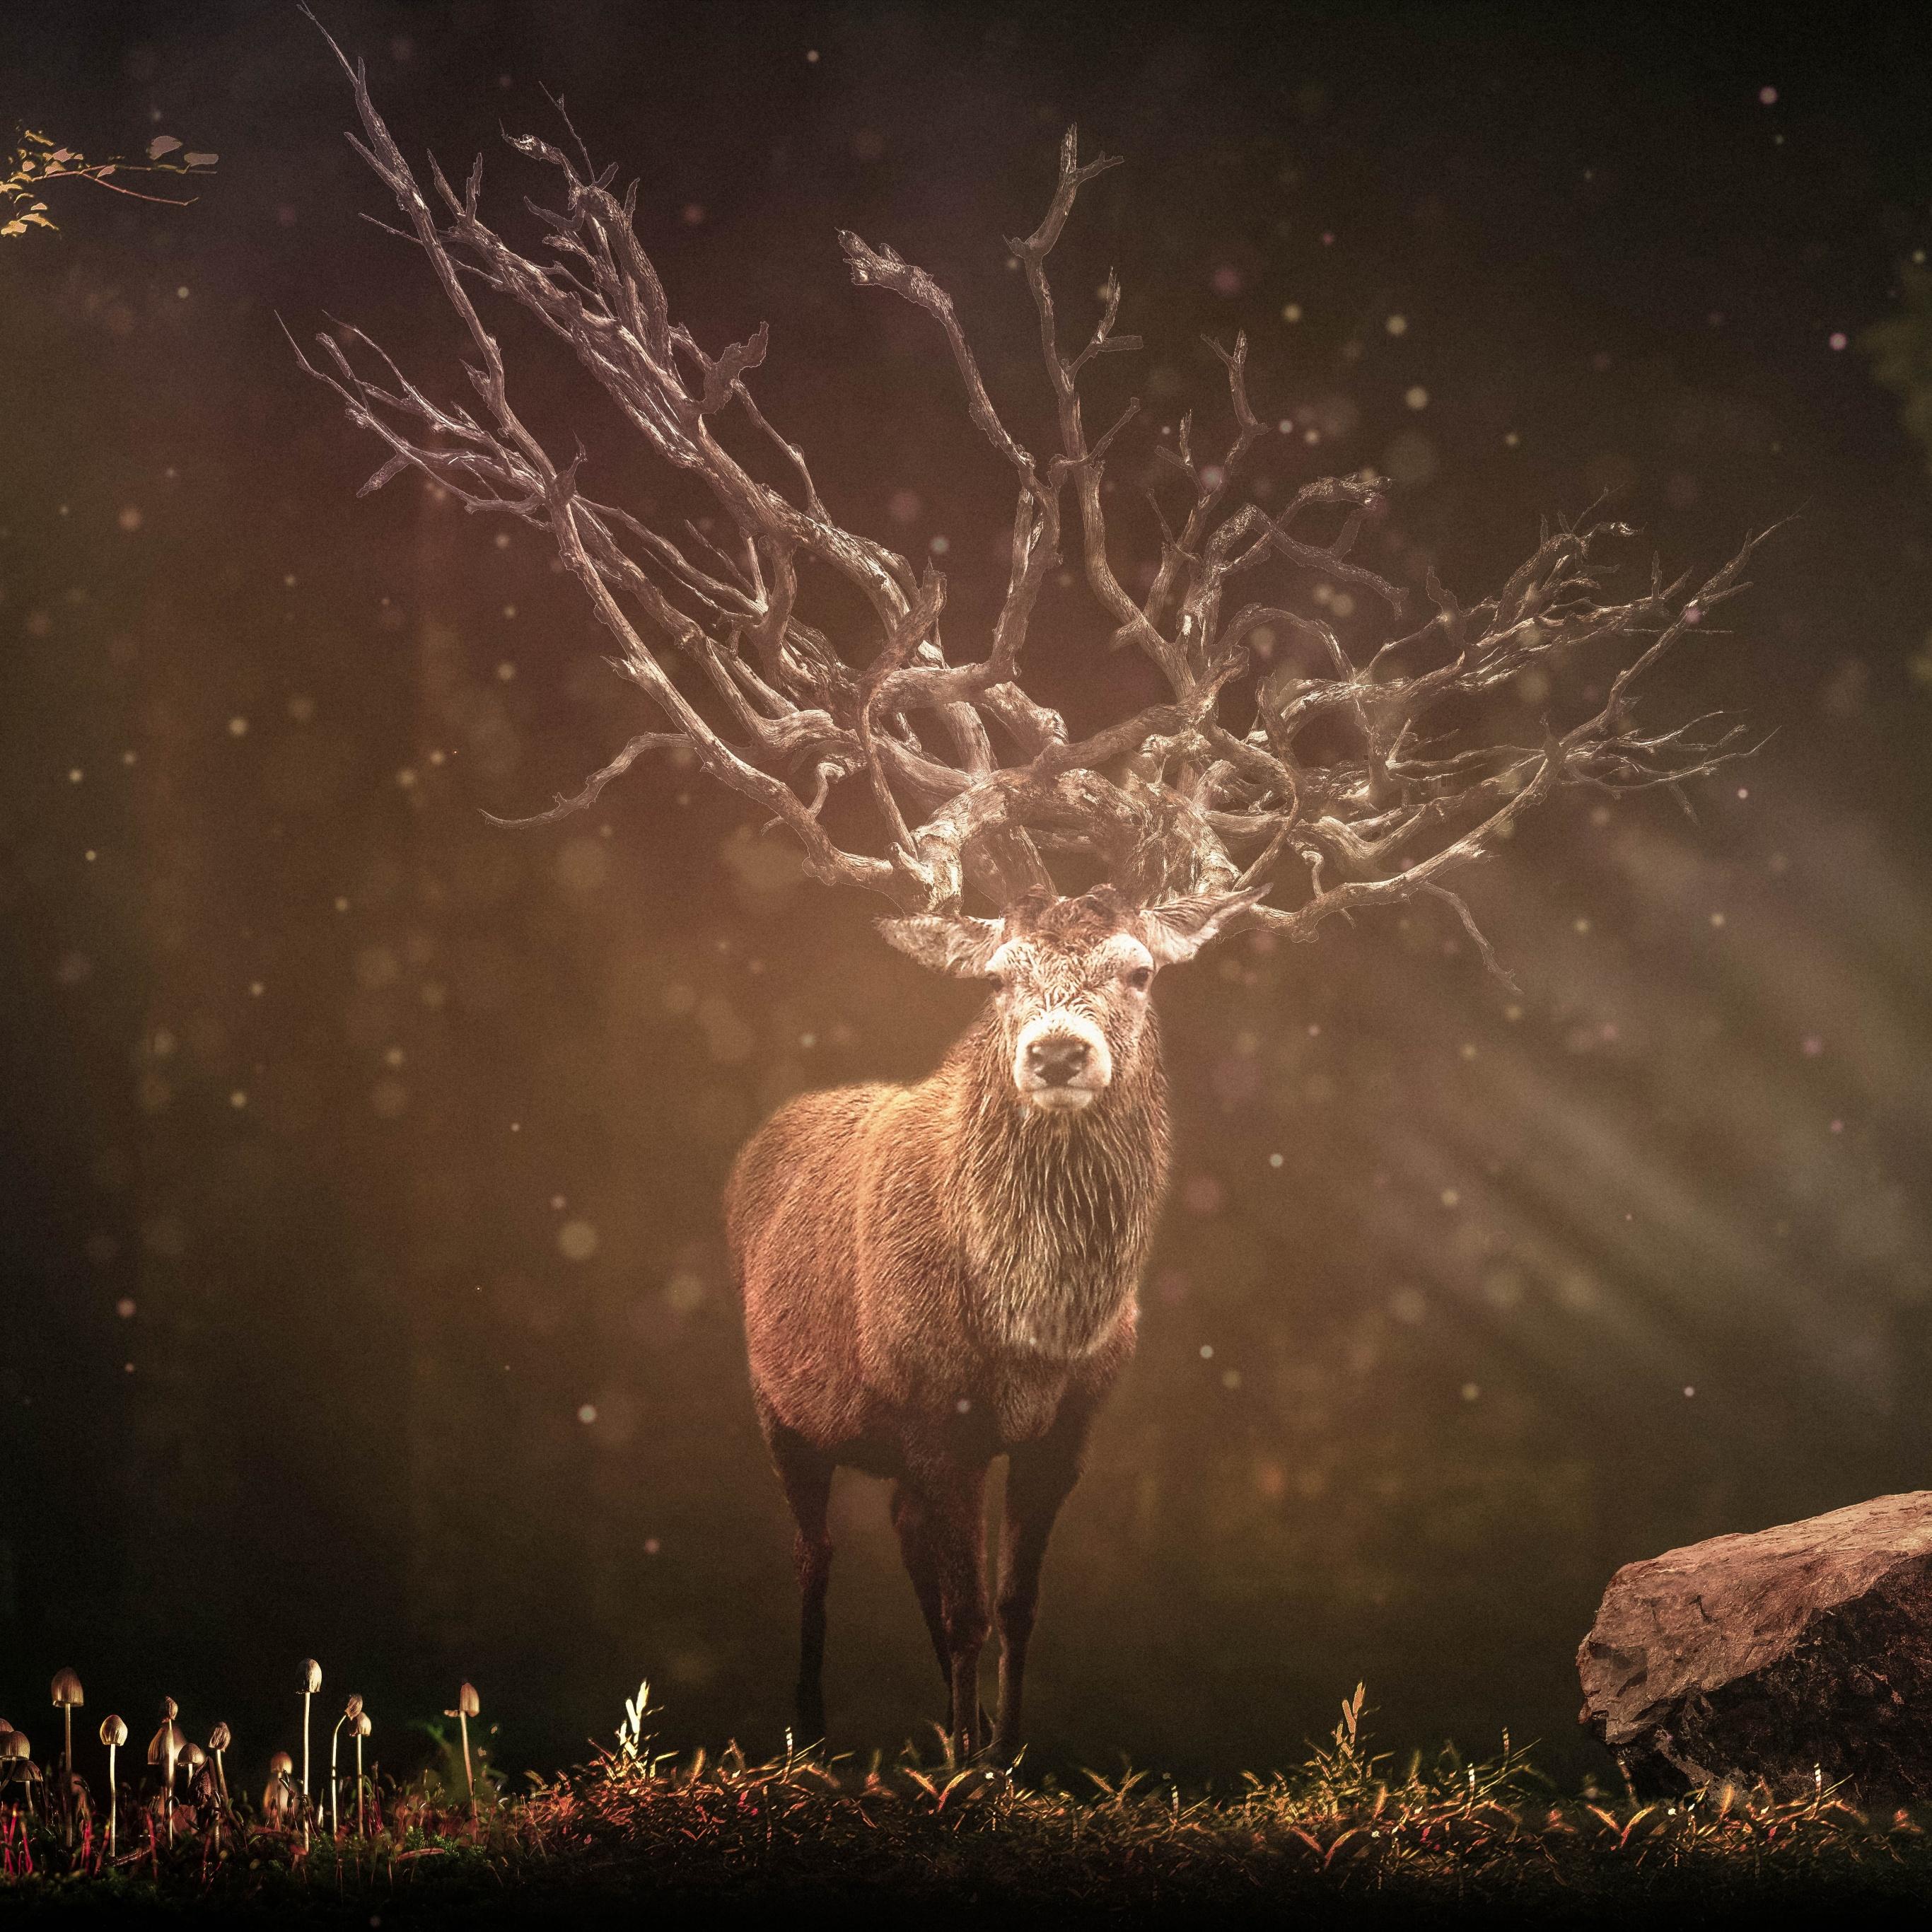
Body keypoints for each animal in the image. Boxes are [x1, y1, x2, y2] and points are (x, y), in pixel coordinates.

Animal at [299, 23, 1765, 1761]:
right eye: (999, 975)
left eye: (1133, 967)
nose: (1058, 1049)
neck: (1031, 1322)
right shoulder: (922, 1412)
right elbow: (939, 1604)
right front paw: (949, 1764)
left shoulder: (1068, 1424)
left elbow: (1013, 1600)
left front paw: (1010, 1752)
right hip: (780, 1402)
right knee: (811, 1557)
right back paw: (807, 1727)